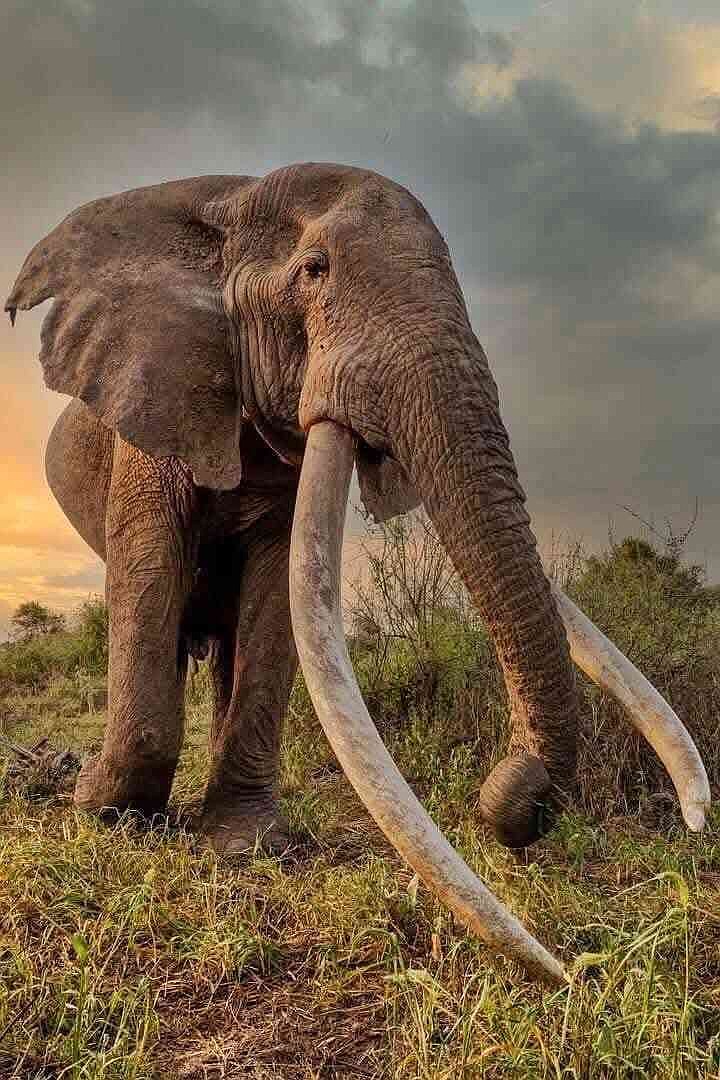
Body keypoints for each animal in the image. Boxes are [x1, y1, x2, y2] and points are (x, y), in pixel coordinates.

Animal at [7, 163, 710, 984]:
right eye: (314, 270)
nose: (516, 794)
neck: (228, 201)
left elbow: (277, 585)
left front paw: (245, 845)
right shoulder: (152, 404)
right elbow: (152, 570)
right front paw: (102, 811)